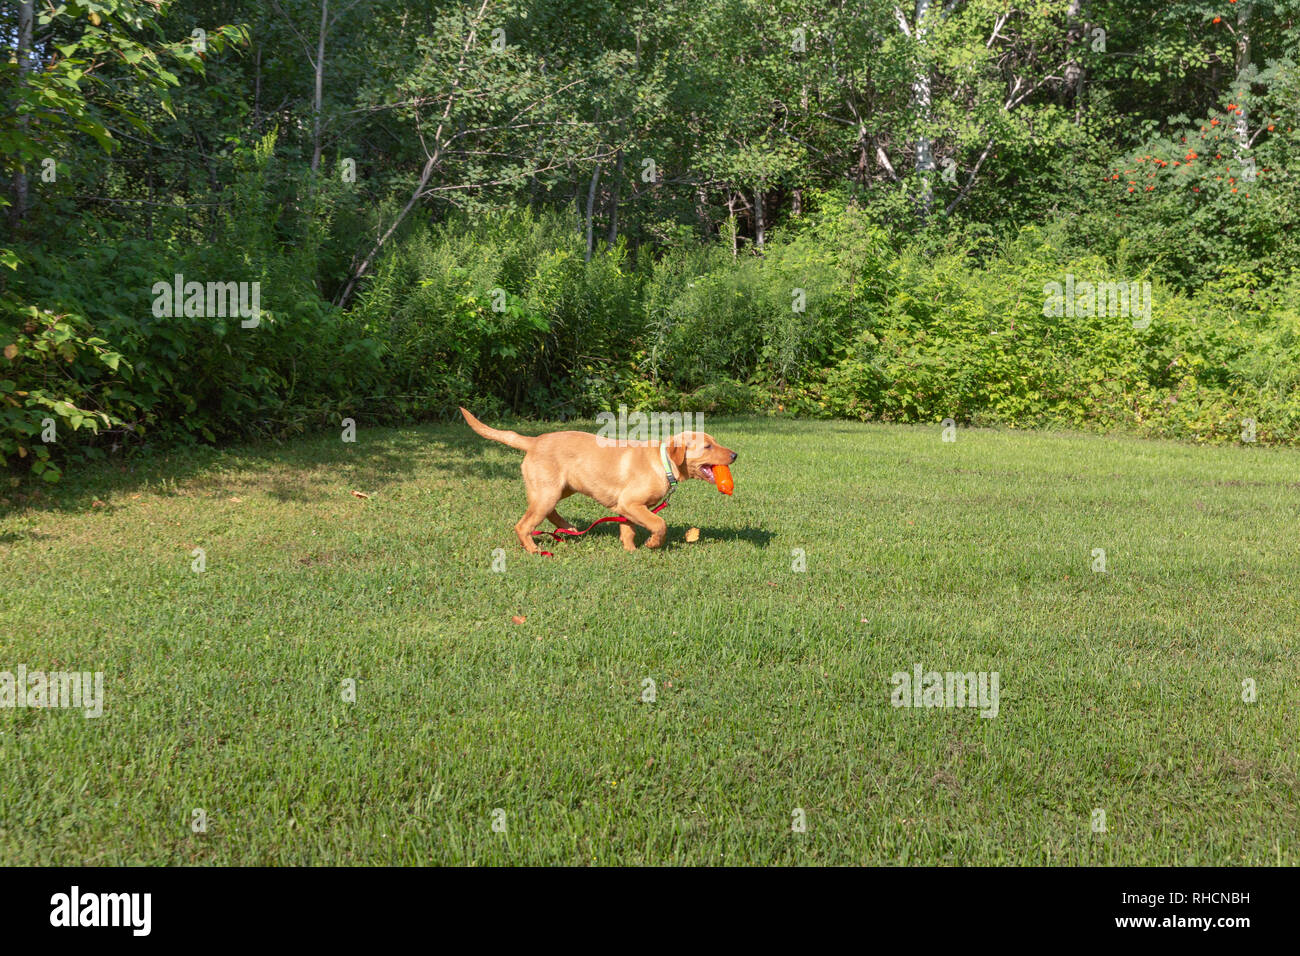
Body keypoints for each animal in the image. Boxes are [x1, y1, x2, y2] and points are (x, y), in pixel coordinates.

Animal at [462, 408, 738, 554]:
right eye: (708, 446)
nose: (735, 455)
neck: (663, 463)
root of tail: (534, 441)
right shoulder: (631, 503)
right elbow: (659, 523)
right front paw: (652, 543)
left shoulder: (626, 507)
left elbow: (628, 530)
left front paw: (631, 551)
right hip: (548, 491)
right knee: (523, 525)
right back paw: (534, 550)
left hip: (561, 488)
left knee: (547, 513)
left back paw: (568, 527)